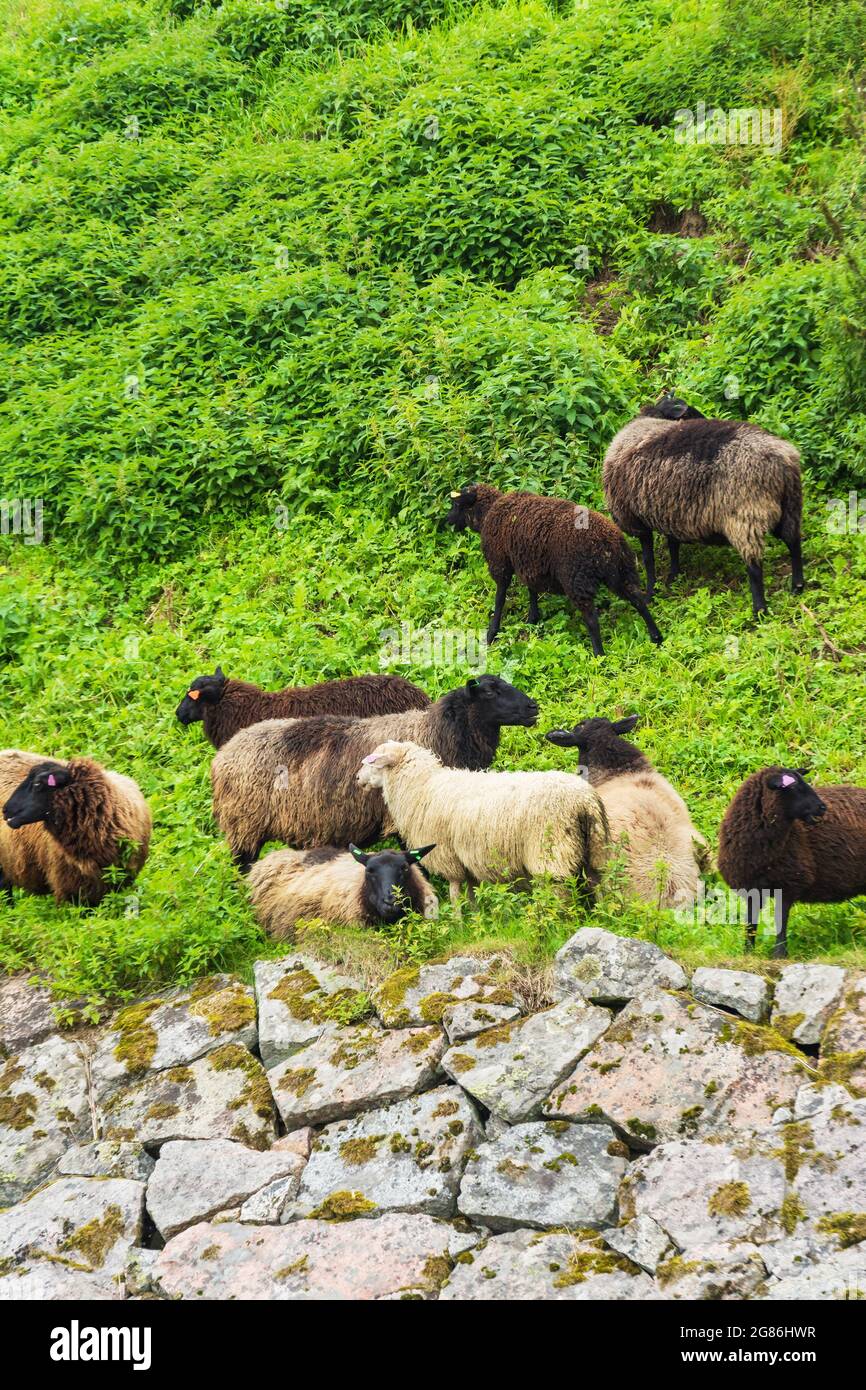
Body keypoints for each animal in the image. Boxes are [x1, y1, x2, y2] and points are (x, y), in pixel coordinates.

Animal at [356, 739, 609, 913]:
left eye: (374, 762)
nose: (357, 779)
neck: (422, 786)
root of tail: (583, 801)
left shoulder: (448, 856)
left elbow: (455, 892)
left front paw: (458, 922)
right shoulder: (466, 860)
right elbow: (471, 892)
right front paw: (477, 917)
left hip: (551, 852)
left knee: (560, 892)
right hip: (594, 847)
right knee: (597, 883)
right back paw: (602, 913)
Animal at [445, 484, 662, 656]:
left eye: (457, 505)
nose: (447, 521)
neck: (488, 513)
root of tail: (607, 541)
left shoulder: (500, 563)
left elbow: (499, 600)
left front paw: (491, 633)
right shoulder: (528, 563)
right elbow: (531, 590)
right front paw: (532, 619)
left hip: (577, 579)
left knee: (592, 619)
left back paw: (599, 655)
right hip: (621, 571)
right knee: (638, 601)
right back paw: (656, 638)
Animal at [603, 390, 804, 615]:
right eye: (690, 413)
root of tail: (780, 459)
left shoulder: (637, 520)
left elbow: (648, 559)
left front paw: (650, 592)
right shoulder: (669, 513)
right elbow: (672, 546)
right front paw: (674, 576)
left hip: (746, 514)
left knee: (754, 566)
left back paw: (759, 609)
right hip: (790, 504)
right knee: (793, 540)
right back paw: (797, 586)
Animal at [718, 766, 866, 958]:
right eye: (792, 787)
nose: (822, 807)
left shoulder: (789, 883)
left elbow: (780, 920)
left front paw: (779, 954)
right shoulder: (751, 888)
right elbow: (751, 922)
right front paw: (748, 952)